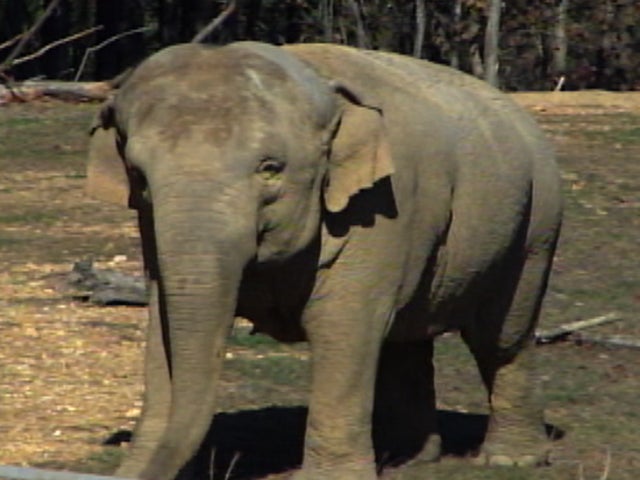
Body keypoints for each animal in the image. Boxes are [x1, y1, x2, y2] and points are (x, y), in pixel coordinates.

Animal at [86, 41, 562, 480]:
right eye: (138, 175)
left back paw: (510, 458)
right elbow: (163, 324)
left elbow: (345, 327)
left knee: (502, 336)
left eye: (270, 168)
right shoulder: (152, 229)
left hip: (535, 226)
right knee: (406, 338)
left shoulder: (381, 209)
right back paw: (408, 456)